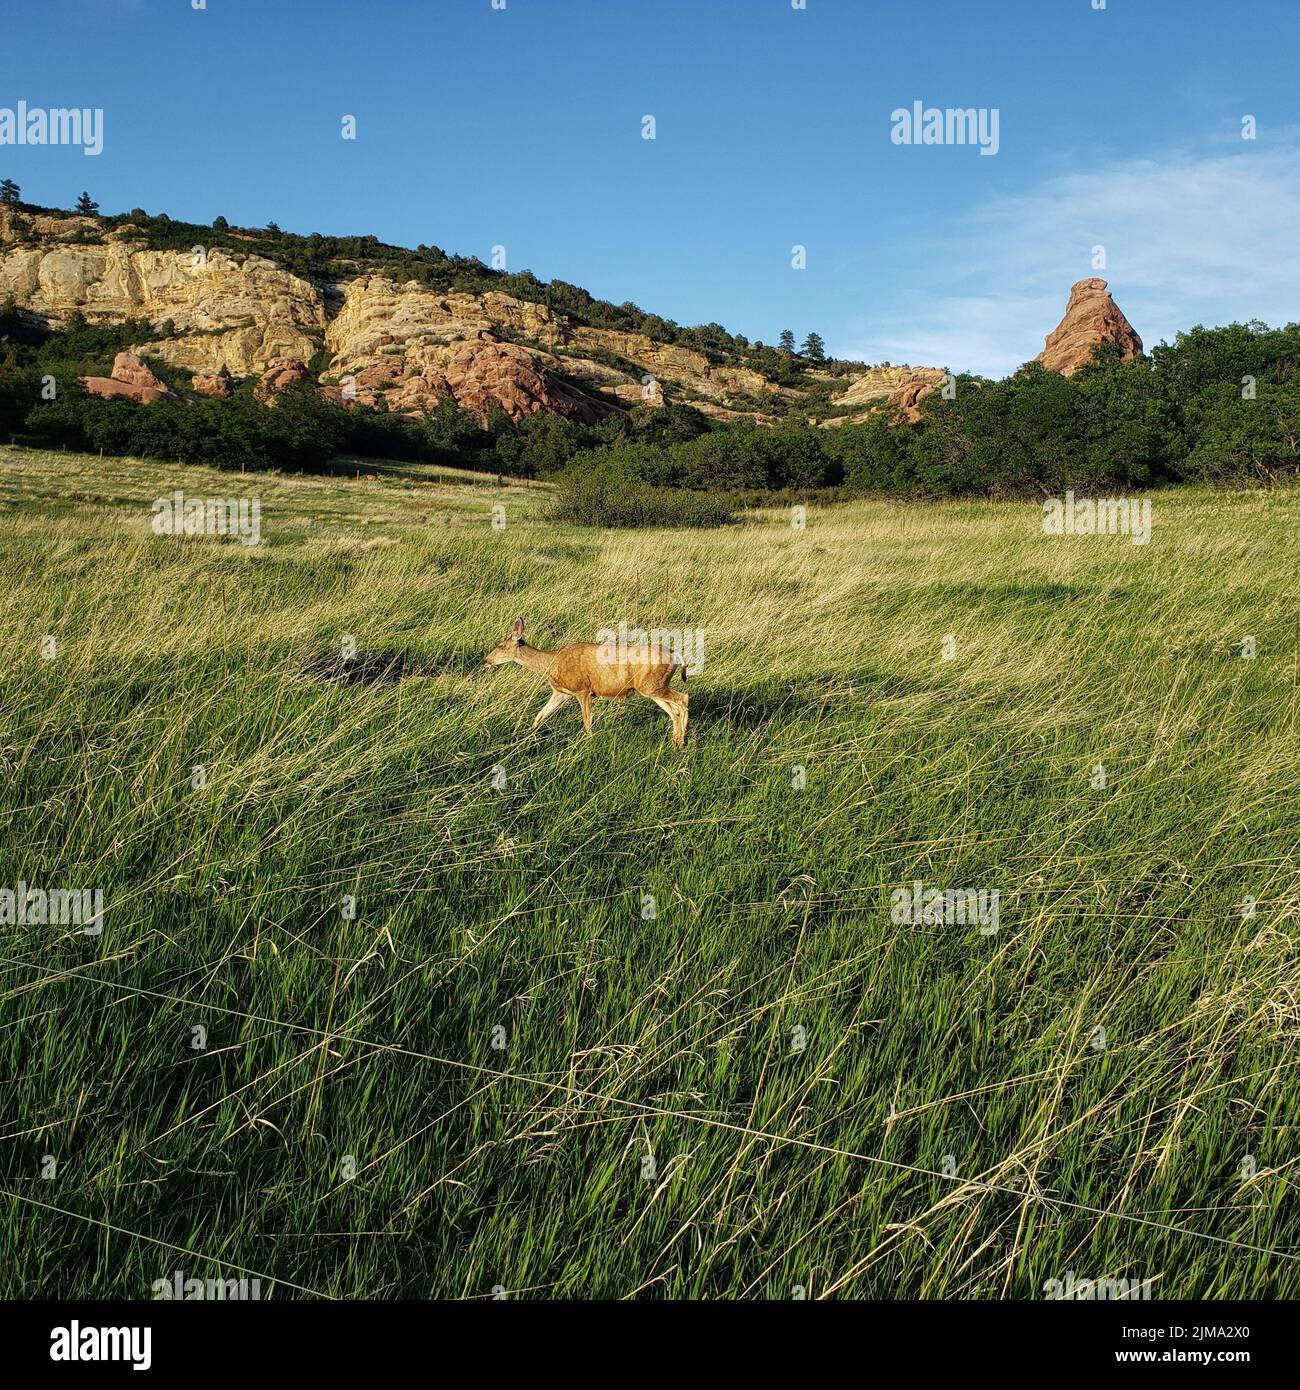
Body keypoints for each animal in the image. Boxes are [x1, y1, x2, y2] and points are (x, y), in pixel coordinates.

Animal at [483, 618, 689, 748]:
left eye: (501, 646)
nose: (486, 660)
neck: (552, 663)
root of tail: (676, 656)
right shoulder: (561, 693)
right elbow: (540, 716)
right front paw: (526, 737)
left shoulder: (583, 690)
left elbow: (587, 722)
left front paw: (589, 743)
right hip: (652, 688)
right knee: (674, 710)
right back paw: (676, 741)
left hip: (652, 685)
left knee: (683, 699)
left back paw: (681, 742)